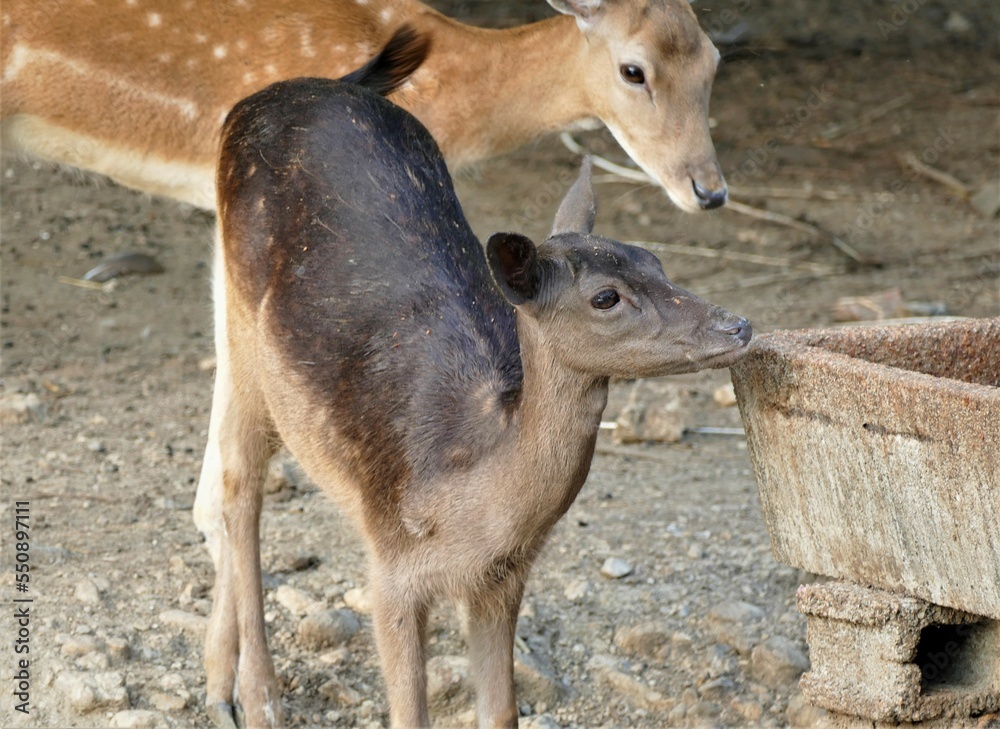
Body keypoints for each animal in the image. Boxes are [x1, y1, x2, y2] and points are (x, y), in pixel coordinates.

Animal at [198, 27, 750, 729]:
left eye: (655, 260)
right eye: (605, 297)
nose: (738, 325)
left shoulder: (501, 583)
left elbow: (501, 711)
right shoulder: (391, 568)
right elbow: (409, 713)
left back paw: (219, 678)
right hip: (244, 328)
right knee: (238, 480)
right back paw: (256, 695)